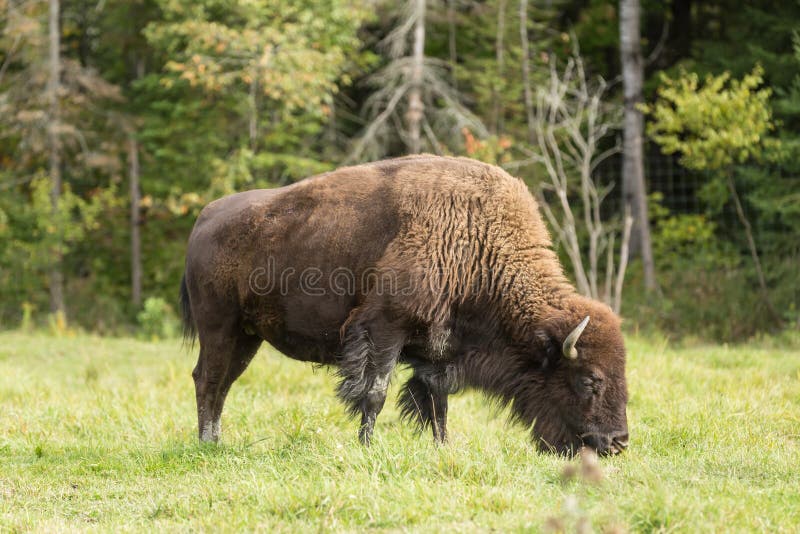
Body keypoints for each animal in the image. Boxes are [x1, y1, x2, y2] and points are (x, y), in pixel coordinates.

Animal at [180, 155, 629, 455]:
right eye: (590, 379)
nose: (618, 442)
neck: (476, 240)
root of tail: (205, 217)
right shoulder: (384, 330)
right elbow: (374, 392)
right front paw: (366, 447)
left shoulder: (439, 349)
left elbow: (437, 401)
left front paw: (443, 447)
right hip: (219, 329)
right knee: (208, 379)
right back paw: (207, 444)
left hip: (247, 337)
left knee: (223, 383)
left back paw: (216, 441)